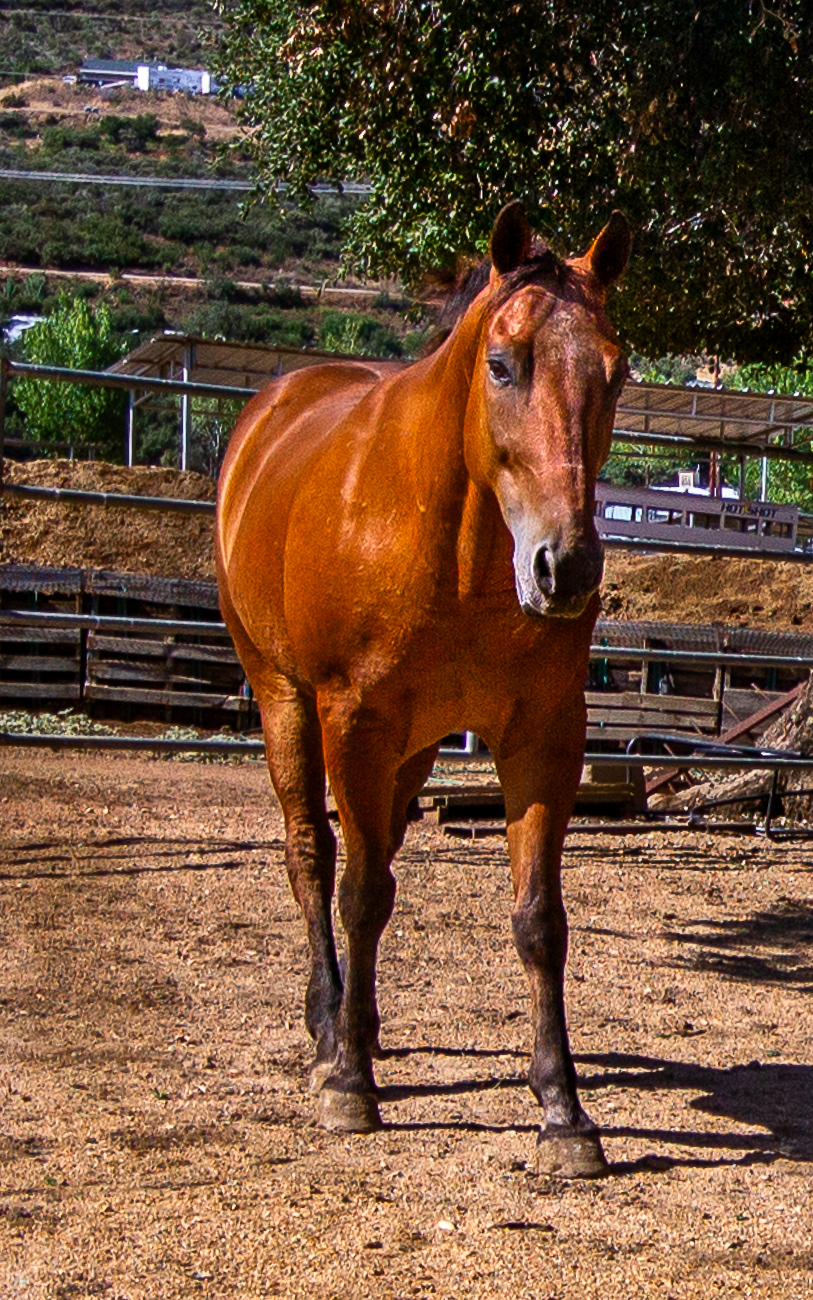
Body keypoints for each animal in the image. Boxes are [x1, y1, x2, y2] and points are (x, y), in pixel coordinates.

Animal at [216, 201, 632, 1178]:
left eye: (616, 371)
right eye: (501, 363)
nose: (566, 567)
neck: (457, 550)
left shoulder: (541, 738)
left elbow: (537, 921)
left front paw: (563, 1112)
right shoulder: (355, 722)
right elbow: (359, 892)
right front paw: (347, 1087)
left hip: (409, 752)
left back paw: (357, 1026)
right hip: (287, 703)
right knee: (313, 857)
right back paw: (328, 1030)